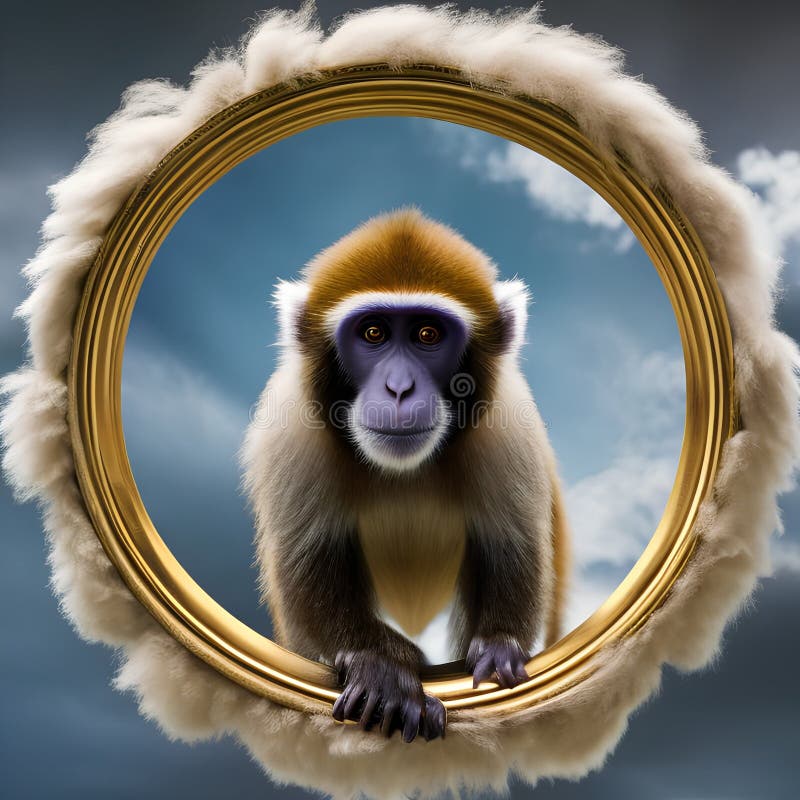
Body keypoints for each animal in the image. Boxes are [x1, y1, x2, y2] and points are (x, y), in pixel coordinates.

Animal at [240, 208, 570, 743]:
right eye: (373, 333)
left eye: (428, 335)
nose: (398, 388)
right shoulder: (289, 429)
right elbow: (303, 575)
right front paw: (382, 669)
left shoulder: (508, 425)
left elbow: (513, 547)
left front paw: (498, 645)